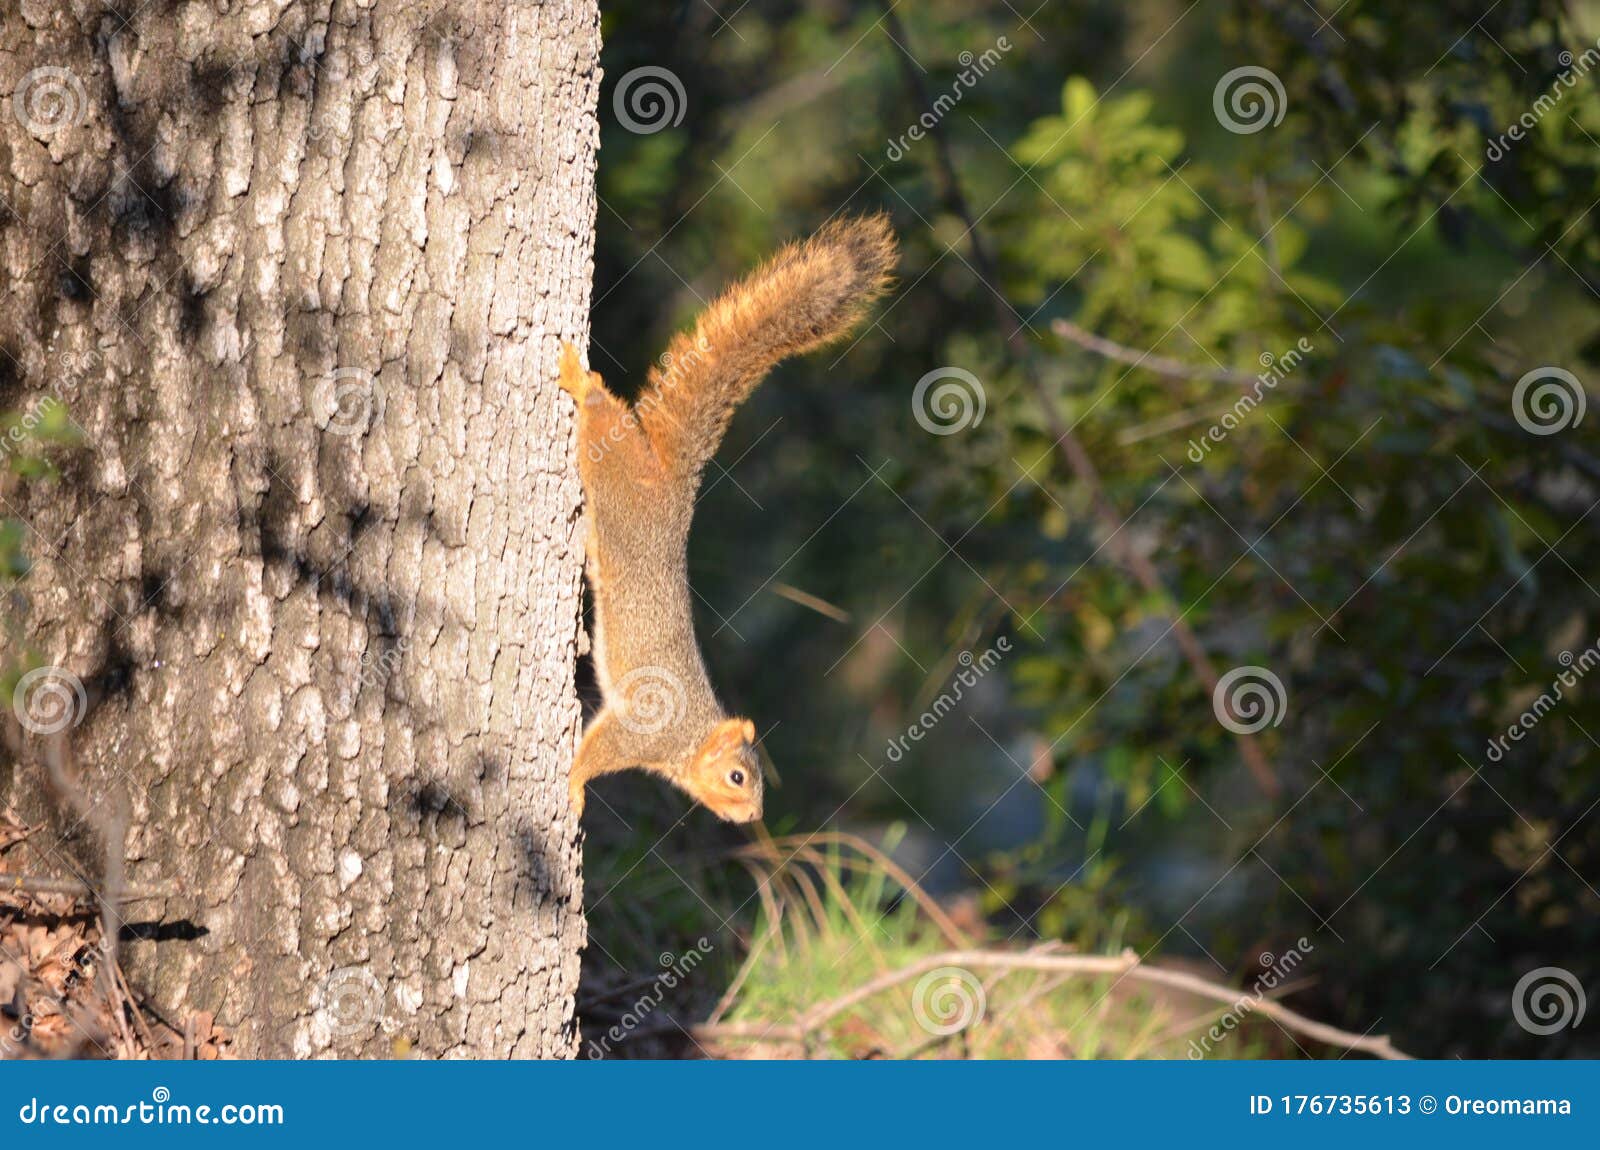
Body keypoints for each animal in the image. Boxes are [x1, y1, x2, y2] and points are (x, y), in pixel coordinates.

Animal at [559, 214, 897, 822]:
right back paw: (580, 379)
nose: (754, 818)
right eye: (738, 777)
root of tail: (670, 487)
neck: (690, 738)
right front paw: (574, 788)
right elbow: (596, 752)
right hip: (614, 476)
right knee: (602, 415)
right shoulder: (644, 729)